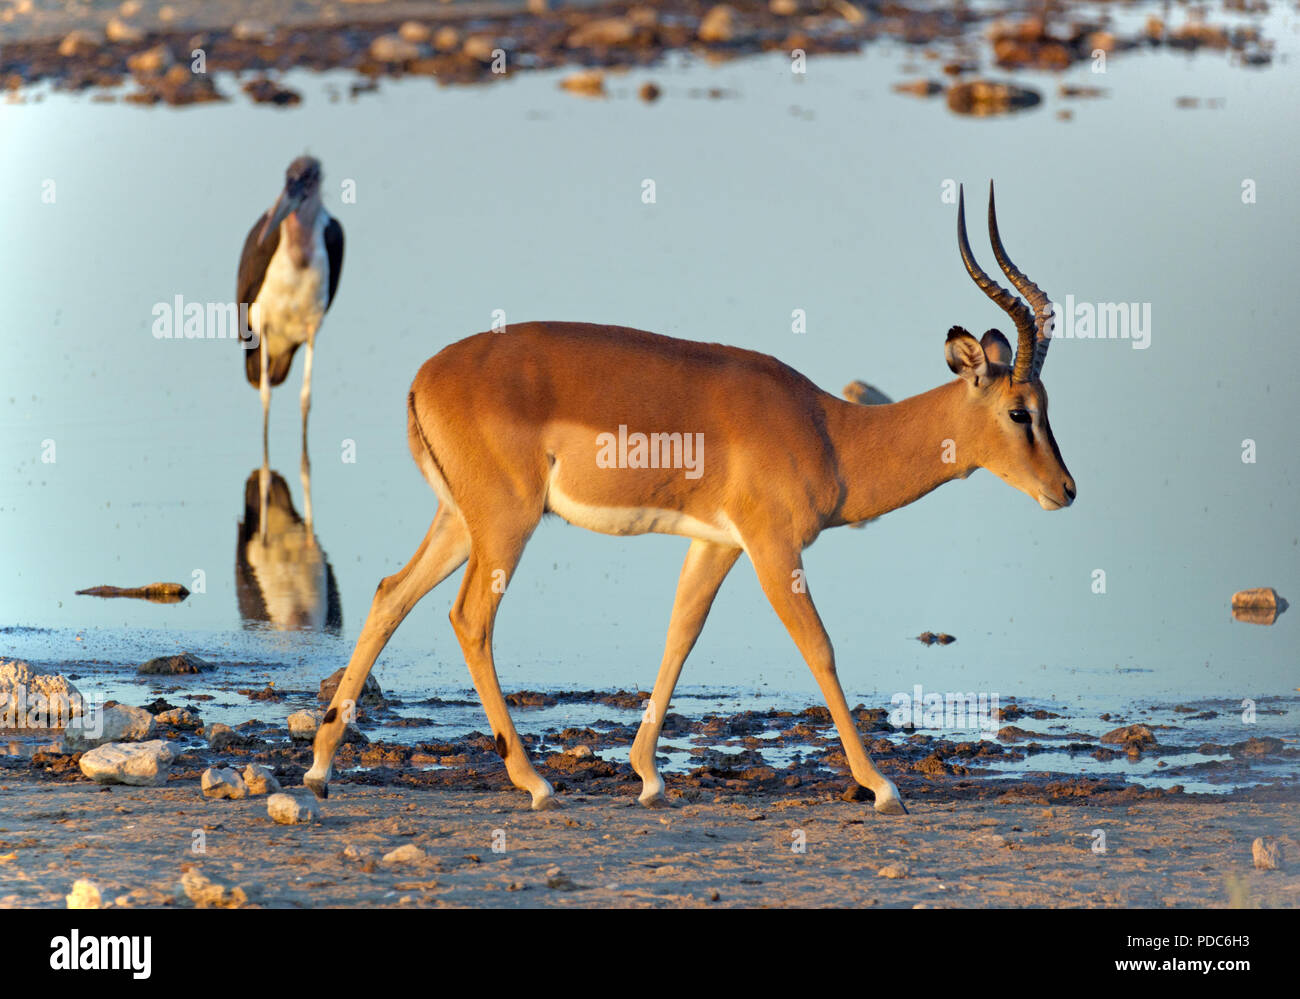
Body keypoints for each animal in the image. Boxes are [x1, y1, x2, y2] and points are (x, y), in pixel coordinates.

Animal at [306, 183, 1075, 815]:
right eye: (1019, 411)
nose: (1066, 489)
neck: (831, 430)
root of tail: (422, 377)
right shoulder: (772, 546)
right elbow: (819, 646)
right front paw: (882, 785)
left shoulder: (715, 543)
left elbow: (681, 632)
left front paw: (648, 775)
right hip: (506, 522)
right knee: (469, 617)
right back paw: (534, 781)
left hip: (459, 521)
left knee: (389, 593)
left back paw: (320, 768)